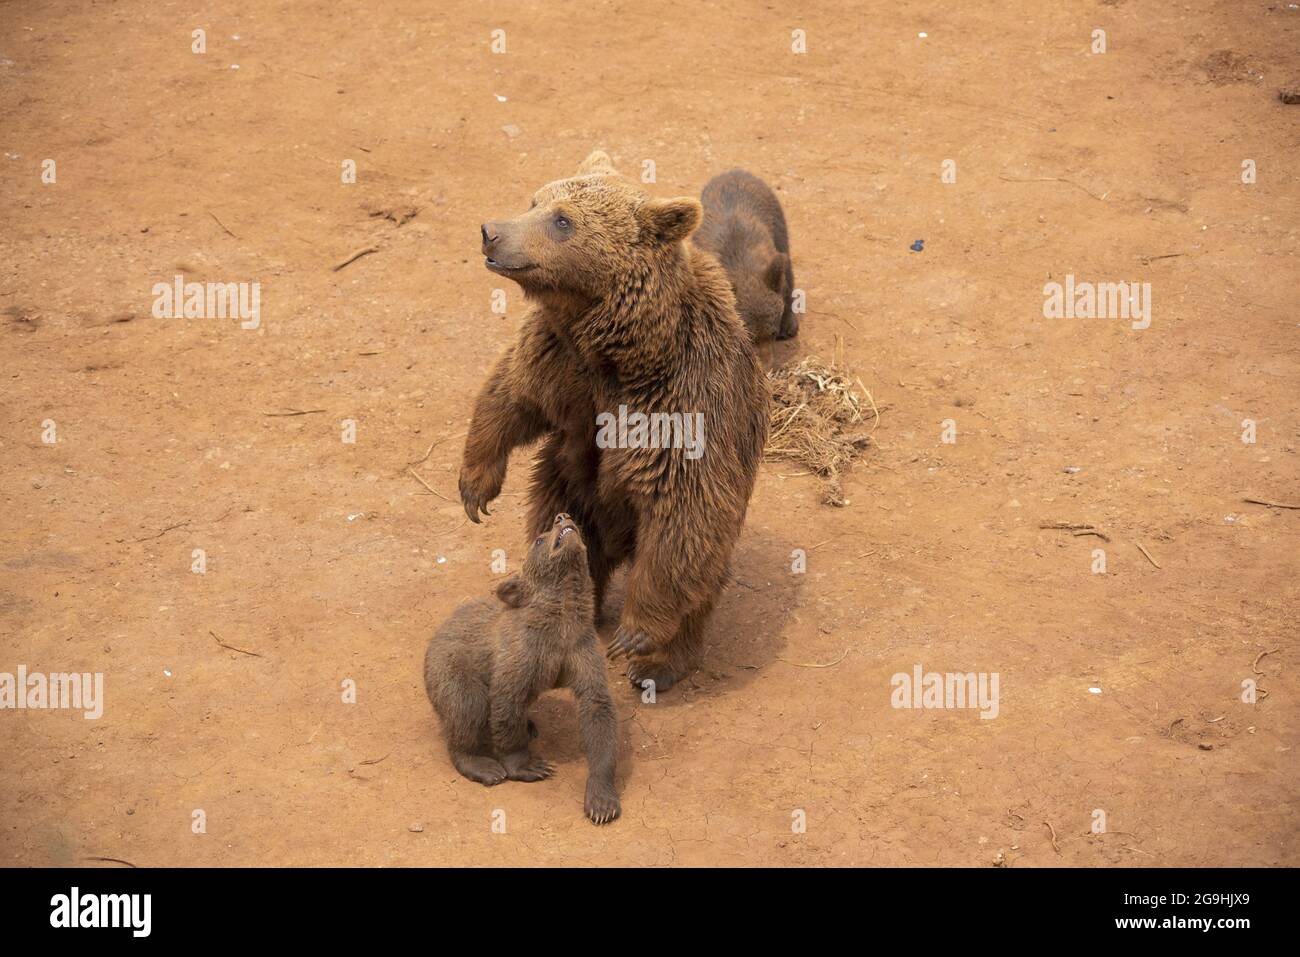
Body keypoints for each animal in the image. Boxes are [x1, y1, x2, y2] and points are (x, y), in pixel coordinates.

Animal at [423, 513, 621, 825]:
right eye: (540, 538)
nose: (563, 516)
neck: (560, 622)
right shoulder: (520, 656)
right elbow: (507, 705)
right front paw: (528, 766)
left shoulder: (580, 649)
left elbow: (597, 709)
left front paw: (602, 802)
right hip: (451, 670)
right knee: (467, 708)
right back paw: (481, 763)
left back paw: (529, 725)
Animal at [459, 150, 768, 693]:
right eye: (535, 200)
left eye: (563, 220)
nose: (491, 231)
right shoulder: (557, 361)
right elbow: (510, 396)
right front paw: (476, 487)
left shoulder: (684, 399)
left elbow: (684, 507)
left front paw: (637, 635)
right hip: (566, 489)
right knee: (559, 535)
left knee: (698, 574)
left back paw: (659, 663)